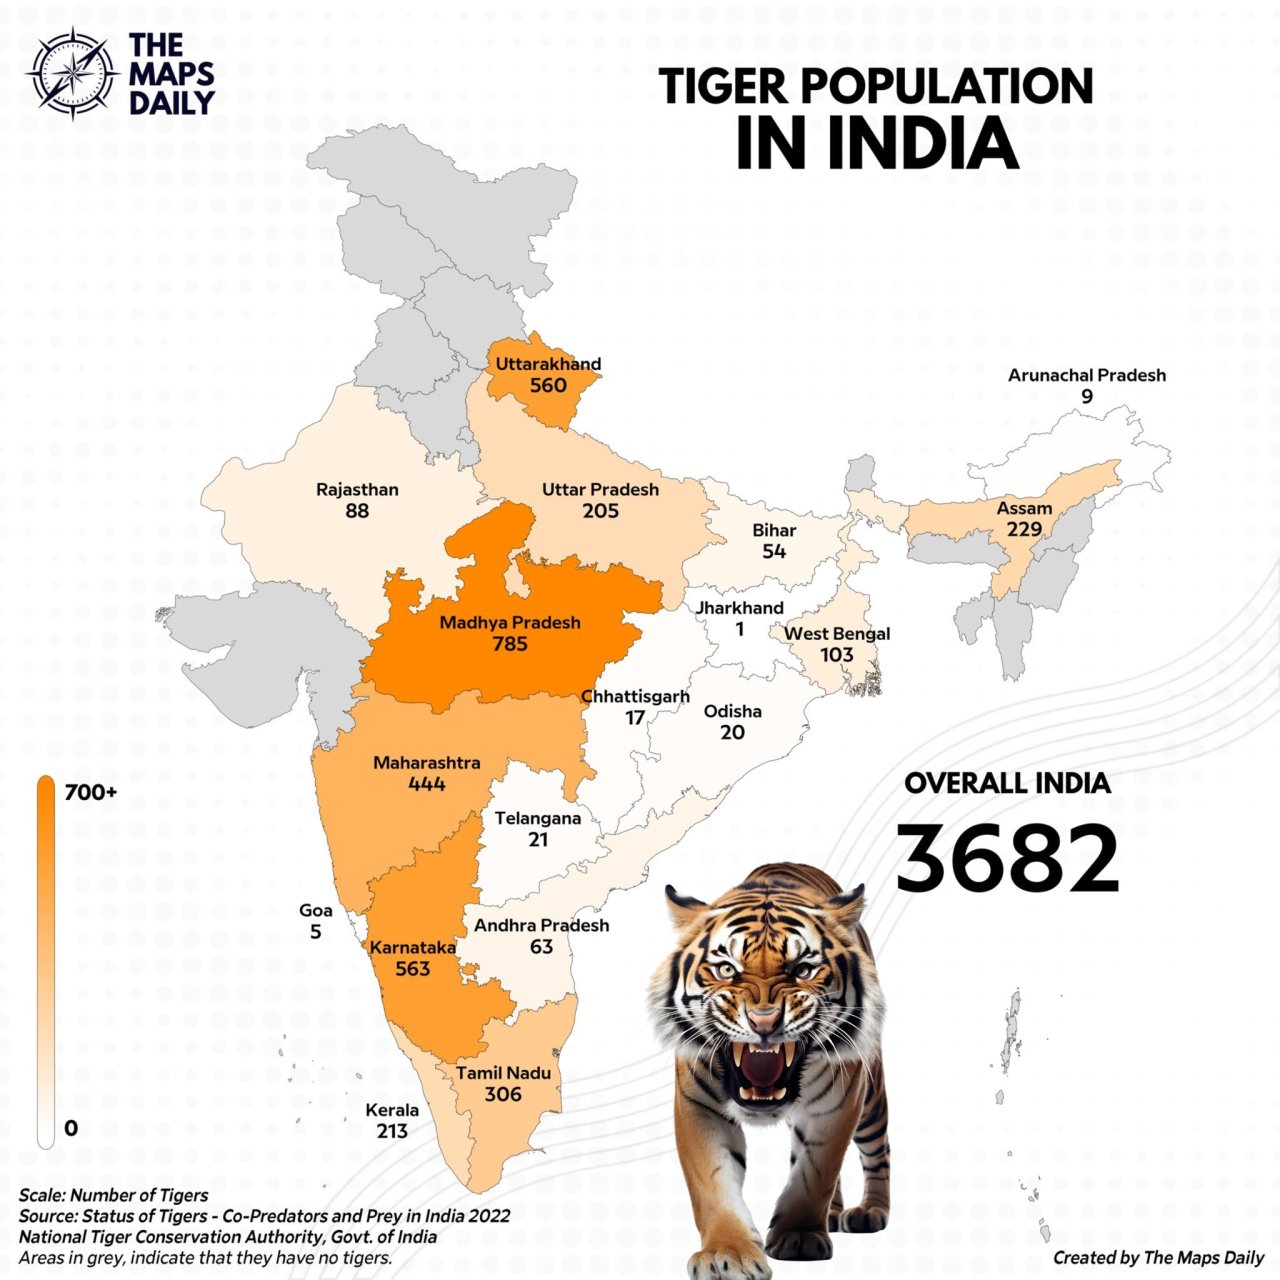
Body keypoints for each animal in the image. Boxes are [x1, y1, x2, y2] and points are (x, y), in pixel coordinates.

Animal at [649, 861, 889, 1280]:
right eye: (726, 968)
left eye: (803, 969)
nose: (764, 1021)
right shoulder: (698, 1106)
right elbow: (713, 1183)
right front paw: (726, 1254)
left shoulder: (839, 1105)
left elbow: (817, 1172)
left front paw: (799, 1235)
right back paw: (835, 1213)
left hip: (871, 1098)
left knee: (878, 1149)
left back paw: (870, 1211)